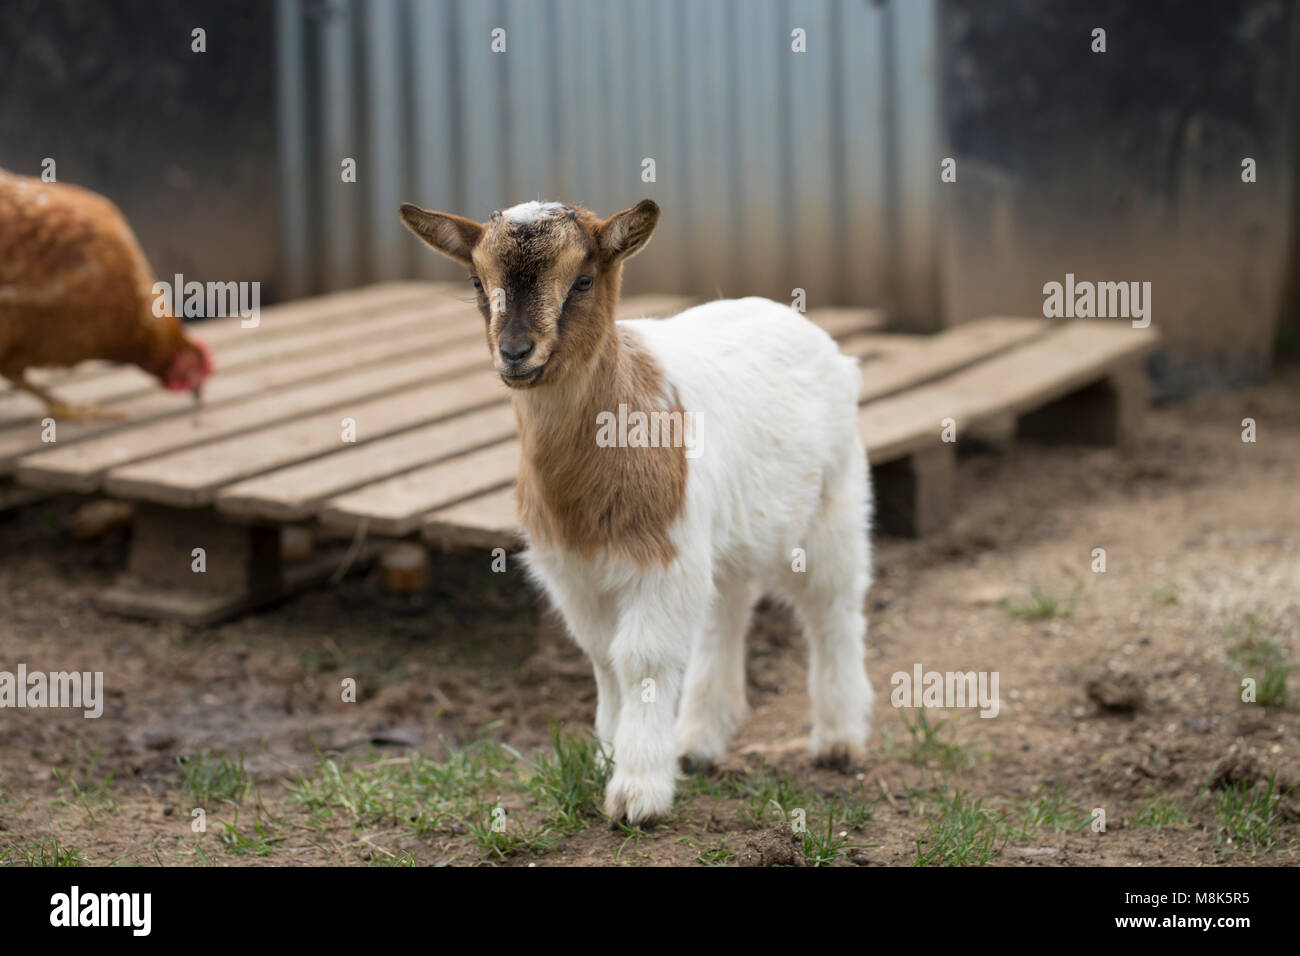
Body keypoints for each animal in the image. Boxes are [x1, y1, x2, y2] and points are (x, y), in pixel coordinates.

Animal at [400, 198, 874, 824]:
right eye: (478, 282)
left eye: (583, 280)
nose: (516, 354)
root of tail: (799, 322)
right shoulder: (575, 569)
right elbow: (604, 658)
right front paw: (611, 753)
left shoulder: (662, 555)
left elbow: (642, 659)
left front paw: (637, 791)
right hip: (726, 535)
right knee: (725, 611)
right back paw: (697, 741)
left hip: (832, 506)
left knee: (833, 610)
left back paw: (839, 740)